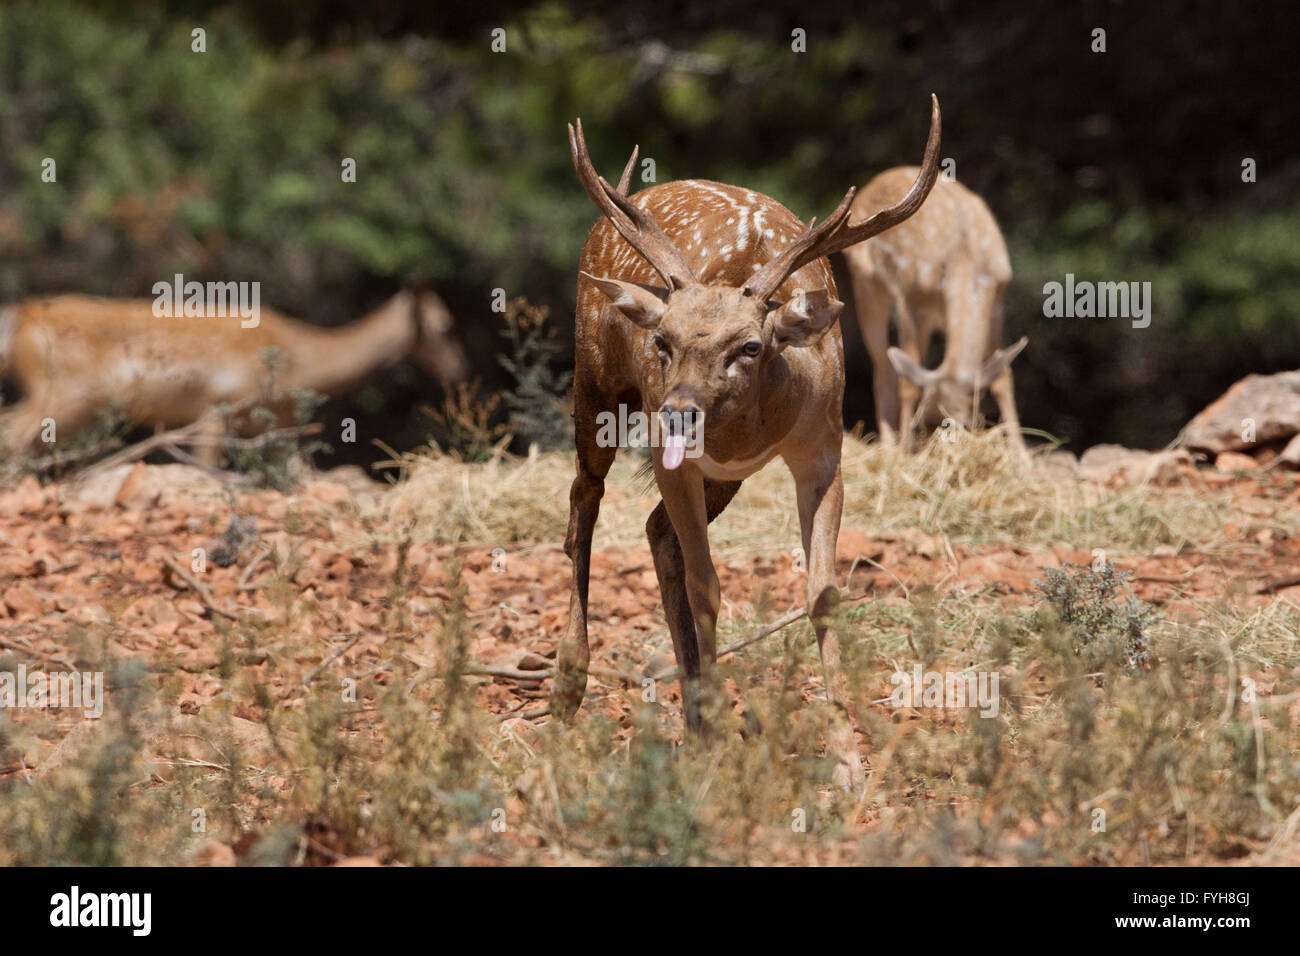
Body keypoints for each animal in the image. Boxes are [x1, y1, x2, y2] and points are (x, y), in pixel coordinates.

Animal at [0, 289, 466, 464]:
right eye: (443, 326)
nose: (459, 370)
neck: (302, 359)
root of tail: (19, 319)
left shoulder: (277, 424)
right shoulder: (216, 405)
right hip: (66, 390)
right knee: (14, 430)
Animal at [552, 96, 942, 789]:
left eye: (751, 346)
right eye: (663, 342)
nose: (676, 413)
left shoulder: (823, 451)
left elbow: (823, 592)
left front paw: (847, 759)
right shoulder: (673, 460)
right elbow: (708, 584)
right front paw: (720, 752)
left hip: (722, 477)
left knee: (654, 529)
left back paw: (694, 712)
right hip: (594, 382)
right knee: (584, 505)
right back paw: (571, 689)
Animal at [842, 167, 1027, 451]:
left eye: (961, 422)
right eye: (926, 419)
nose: (930, 438)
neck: (963, 253)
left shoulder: (997, 300)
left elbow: (1002, 376)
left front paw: (1021, 452)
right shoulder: (911, 297)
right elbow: (908, 383)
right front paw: (903, 453)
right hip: (865, 280)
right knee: (883, 368)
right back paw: (888, 447)